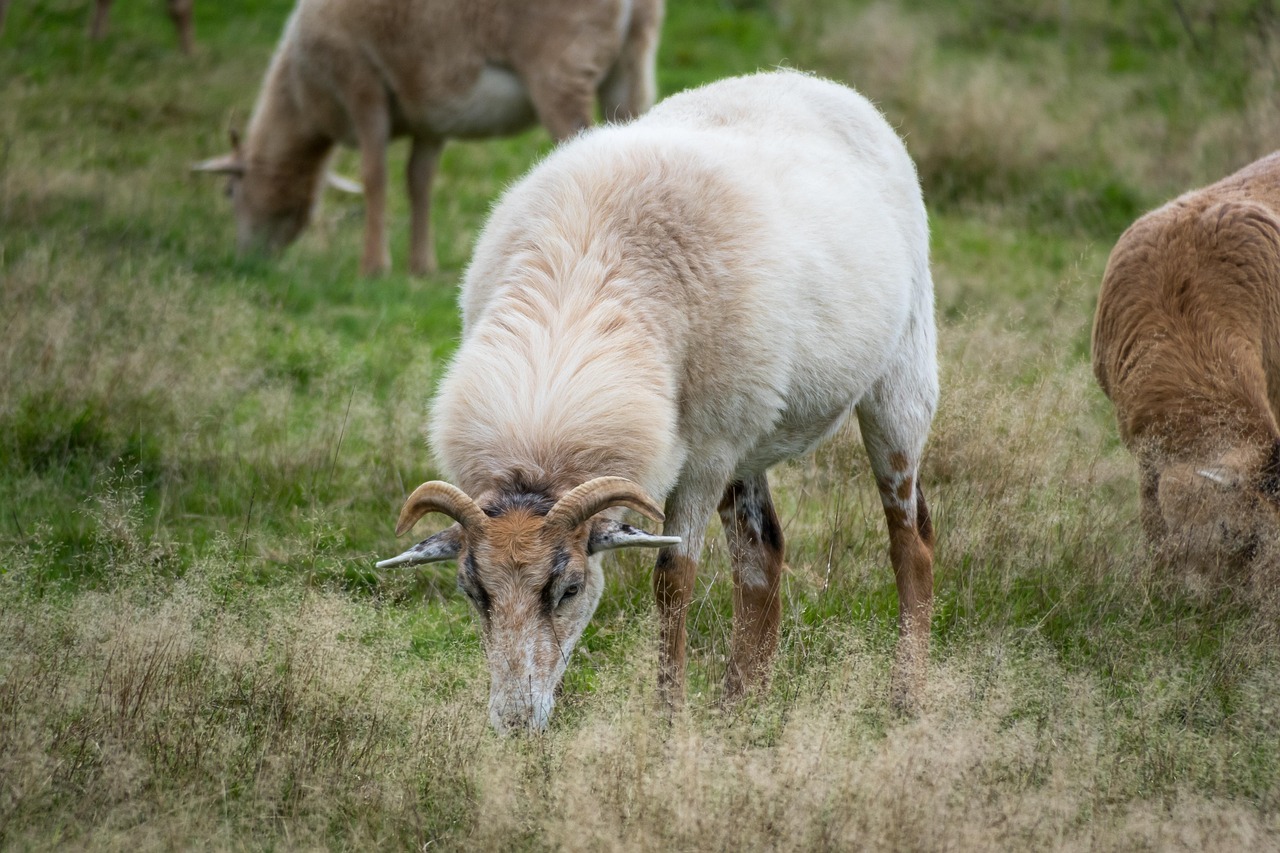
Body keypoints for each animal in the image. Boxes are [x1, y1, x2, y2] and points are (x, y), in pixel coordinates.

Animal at [192, 0, 664, 277]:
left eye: (229, 192)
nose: (246, 261)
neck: (305, 96)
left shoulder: (360, 80)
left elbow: (375, 176)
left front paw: (373, 266)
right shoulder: (430, 114)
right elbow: (419, 181)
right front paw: (421, 268)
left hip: (561, 65)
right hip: (631, 65)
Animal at [376, 70, 939, 733]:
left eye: (568, 589)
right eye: (473, 592)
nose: (515, 724)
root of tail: (805, 79)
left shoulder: (704, 461)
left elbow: (673, 581)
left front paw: (668, 717)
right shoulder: (717, 444)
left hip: (898, 380)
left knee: (910, 541)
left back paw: (906, 697)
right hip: (746, 433)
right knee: (762, 554)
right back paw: (739, 707)